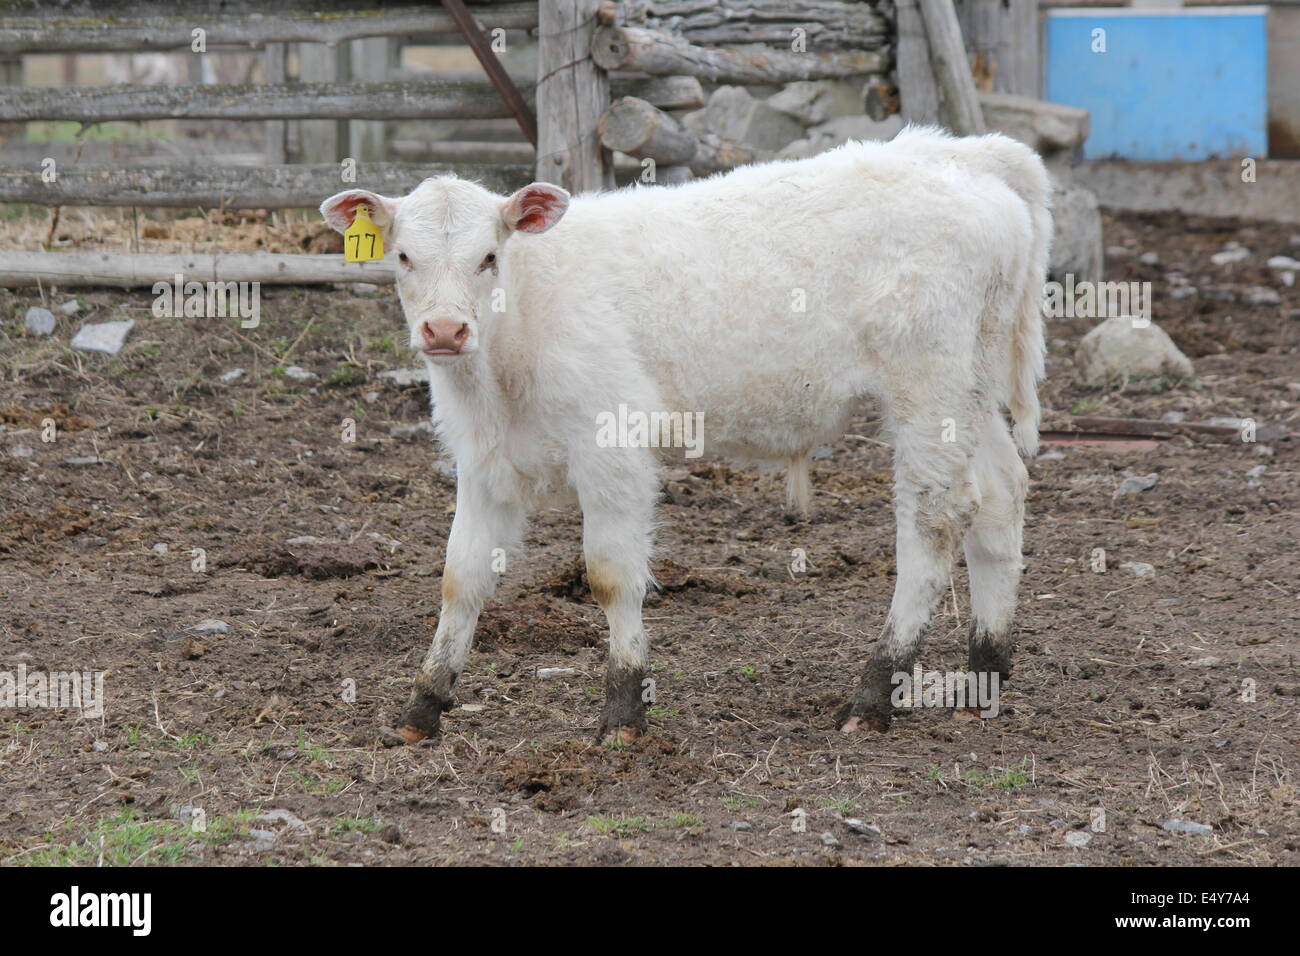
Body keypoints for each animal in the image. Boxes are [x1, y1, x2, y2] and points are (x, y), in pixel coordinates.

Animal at [320, 126, 1050, 745]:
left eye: (489, 257)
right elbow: (460, 579)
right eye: (403, 256)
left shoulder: (611, 447)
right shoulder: (482, 464)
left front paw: (623, 714)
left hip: (928, 385)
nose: (445, 331)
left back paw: (873, 695)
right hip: (972, 389)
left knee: (935, 520)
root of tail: (959, 152)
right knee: (999, 495)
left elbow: (610, 576)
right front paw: (421, 709)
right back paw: (984, 673)